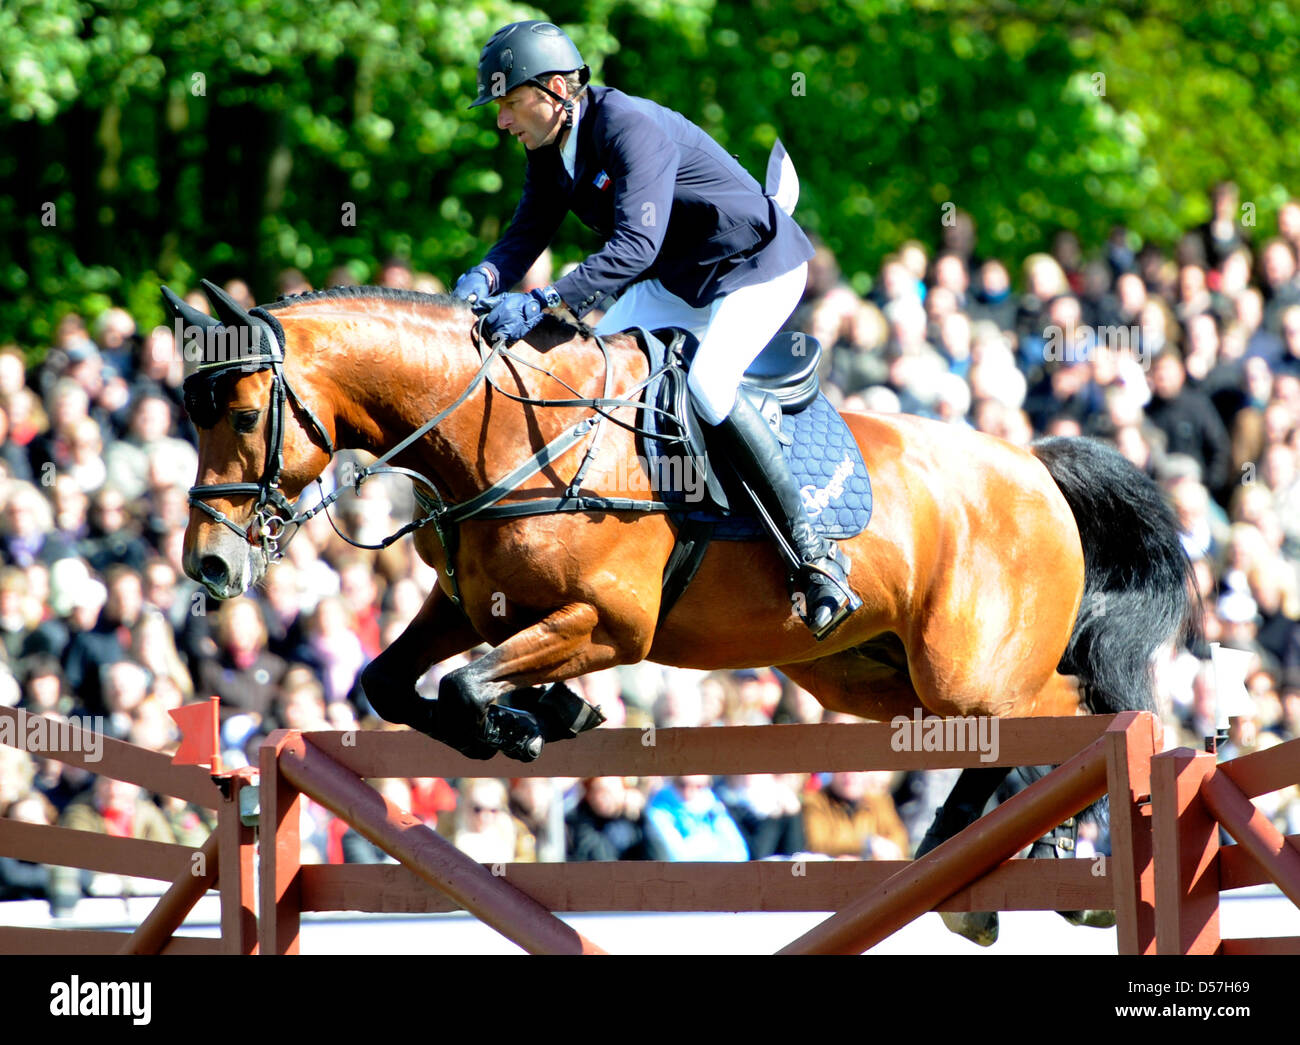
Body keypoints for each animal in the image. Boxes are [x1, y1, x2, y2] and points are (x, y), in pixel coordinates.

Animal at [169, 279, 1195, 945]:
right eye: (191, 415)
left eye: (245, 410)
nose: (209, 564)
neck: (497, 434)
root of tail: (1035, 465)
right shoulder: (471, 604)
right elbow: (393, 682)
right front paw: (538, 718)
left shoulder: (607, 623)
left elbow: (462, 684)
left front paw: (527, 717)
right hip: (871, 678)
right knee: (998, 738)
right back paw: (971, 865)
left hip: (970, 670)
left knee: (1071, 711)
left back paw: (1041, 849)